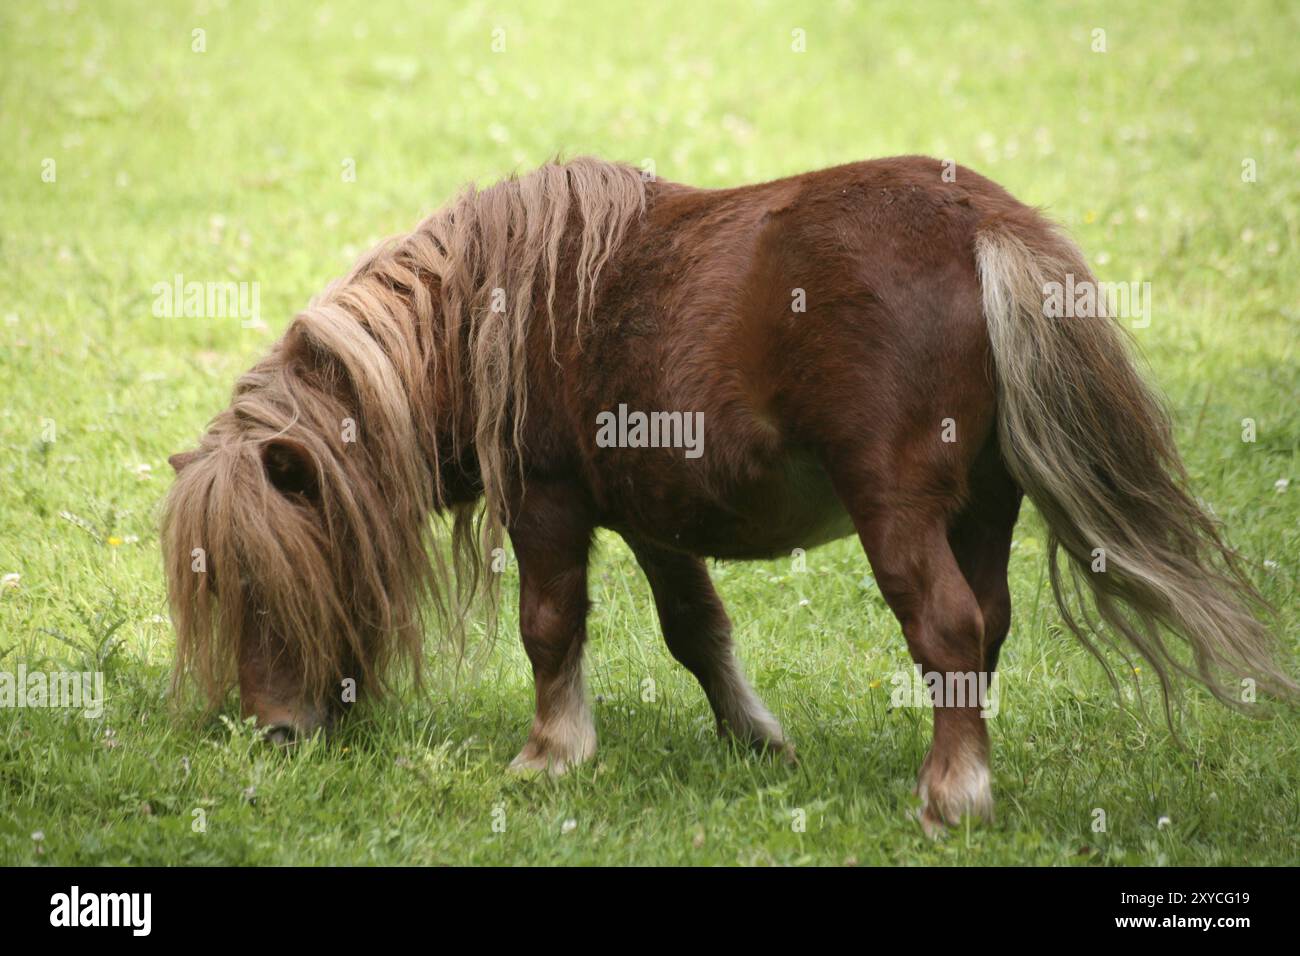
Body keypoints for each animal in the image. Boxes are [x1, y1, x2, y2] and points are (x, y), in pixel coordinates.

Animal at [162, 155, 1294, 835]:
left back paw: (951, 795)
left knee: (946, 626)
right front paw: (756, 738)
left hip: (898, 513)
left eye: (262, 584)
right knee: (988, 628)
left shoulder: (549, 503)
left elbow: (549, 627)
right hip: (983, 508)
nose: (274, 733)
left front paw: (549, 756)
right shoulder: (654, 520)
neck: (489, 315)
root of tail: (982, 223)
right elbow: (696, 629)